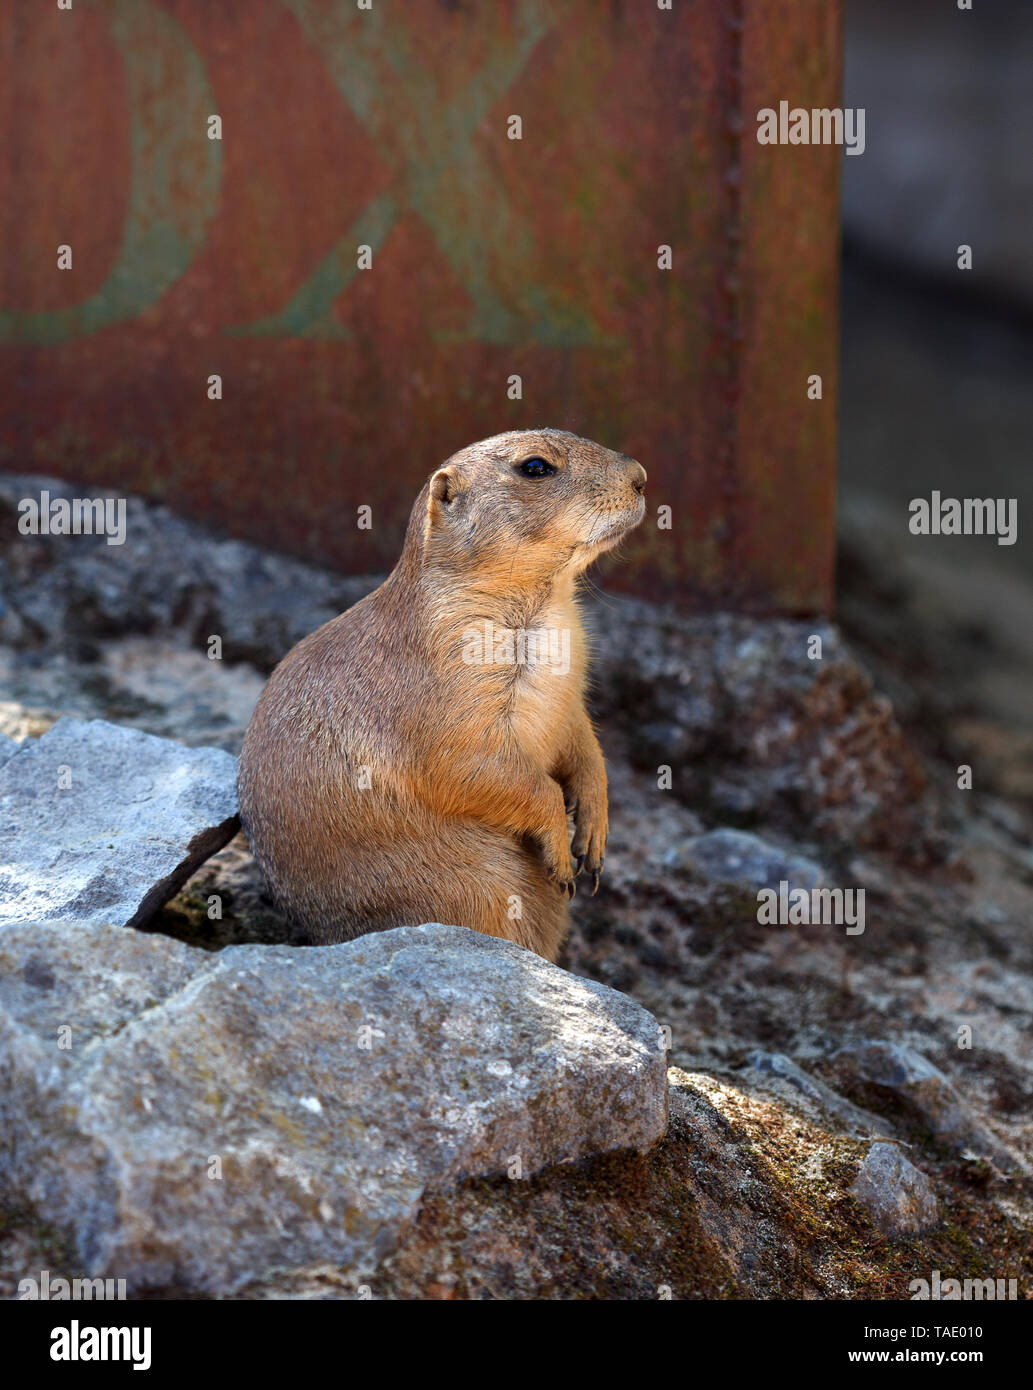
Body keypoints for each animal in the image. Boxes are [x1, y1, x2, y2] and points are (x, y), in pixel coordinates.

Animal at [238, 428, 646, 961]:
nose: (641, 476)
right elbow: (480, 769)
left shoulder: (569, 691)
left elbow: (582, 742)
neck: (545, 601)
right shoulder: (448, 695)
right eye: (535, 467)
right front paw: (561, 854)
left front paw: (593, 837)